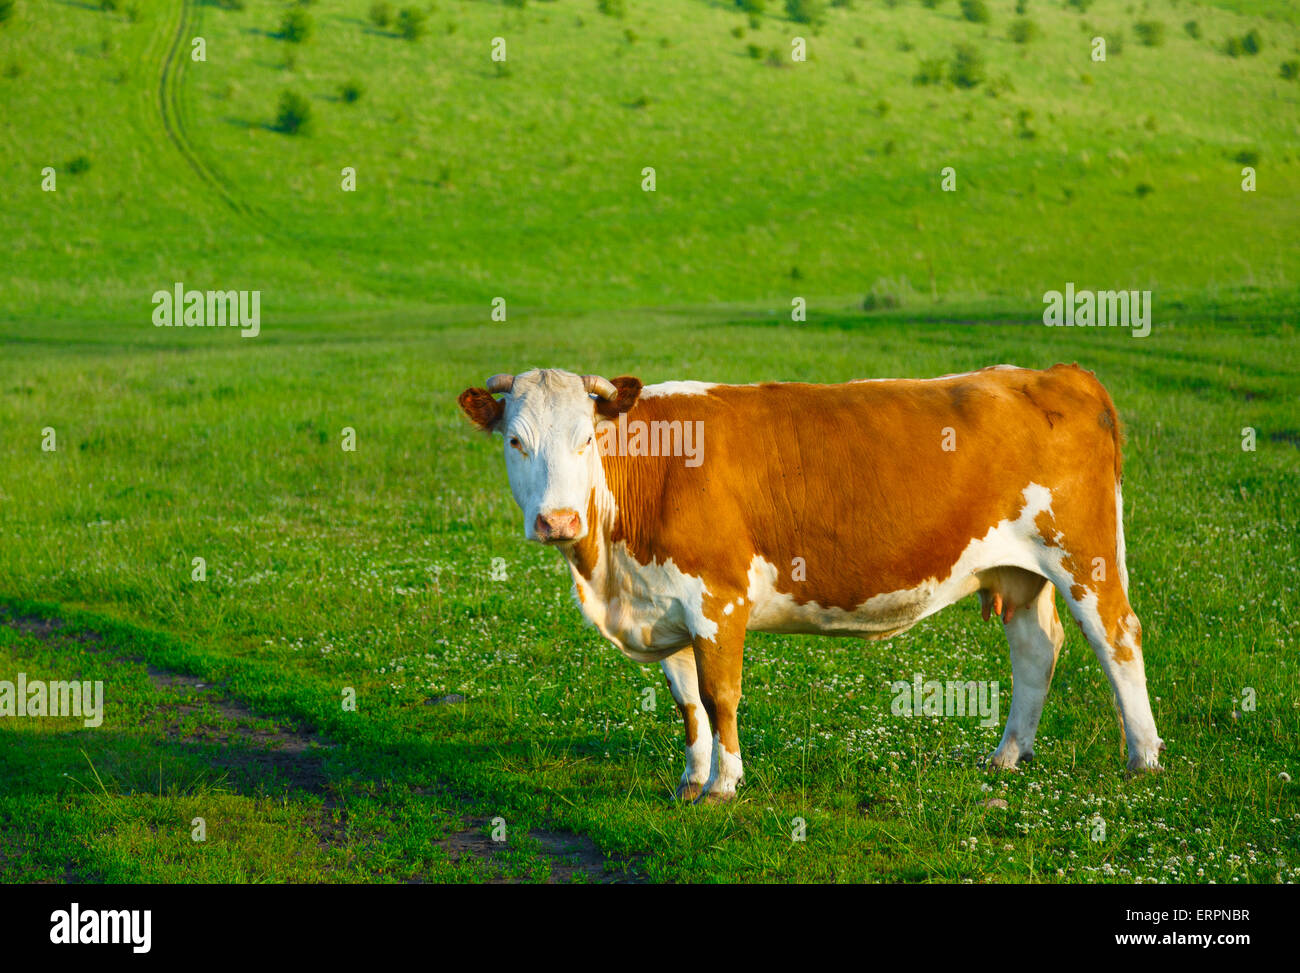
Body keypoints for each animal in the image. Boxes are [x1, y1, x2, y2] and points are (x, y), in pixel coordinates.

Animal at [457, 365, 1163, 804]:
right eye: (515, 441)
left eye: (586, 438)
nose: (557, 520)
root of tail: (1054, 374)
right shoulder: (665, 605)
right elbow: (686, 700)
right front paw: (689, 780)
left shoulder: (718, 600)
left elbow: (719, 696)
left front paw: (723, 786)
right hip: (1018, 571)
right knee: (1035, 650)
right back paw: (1008, 756)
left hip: (1085, 556)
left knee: (1118, 639)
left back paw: (1144, 758)